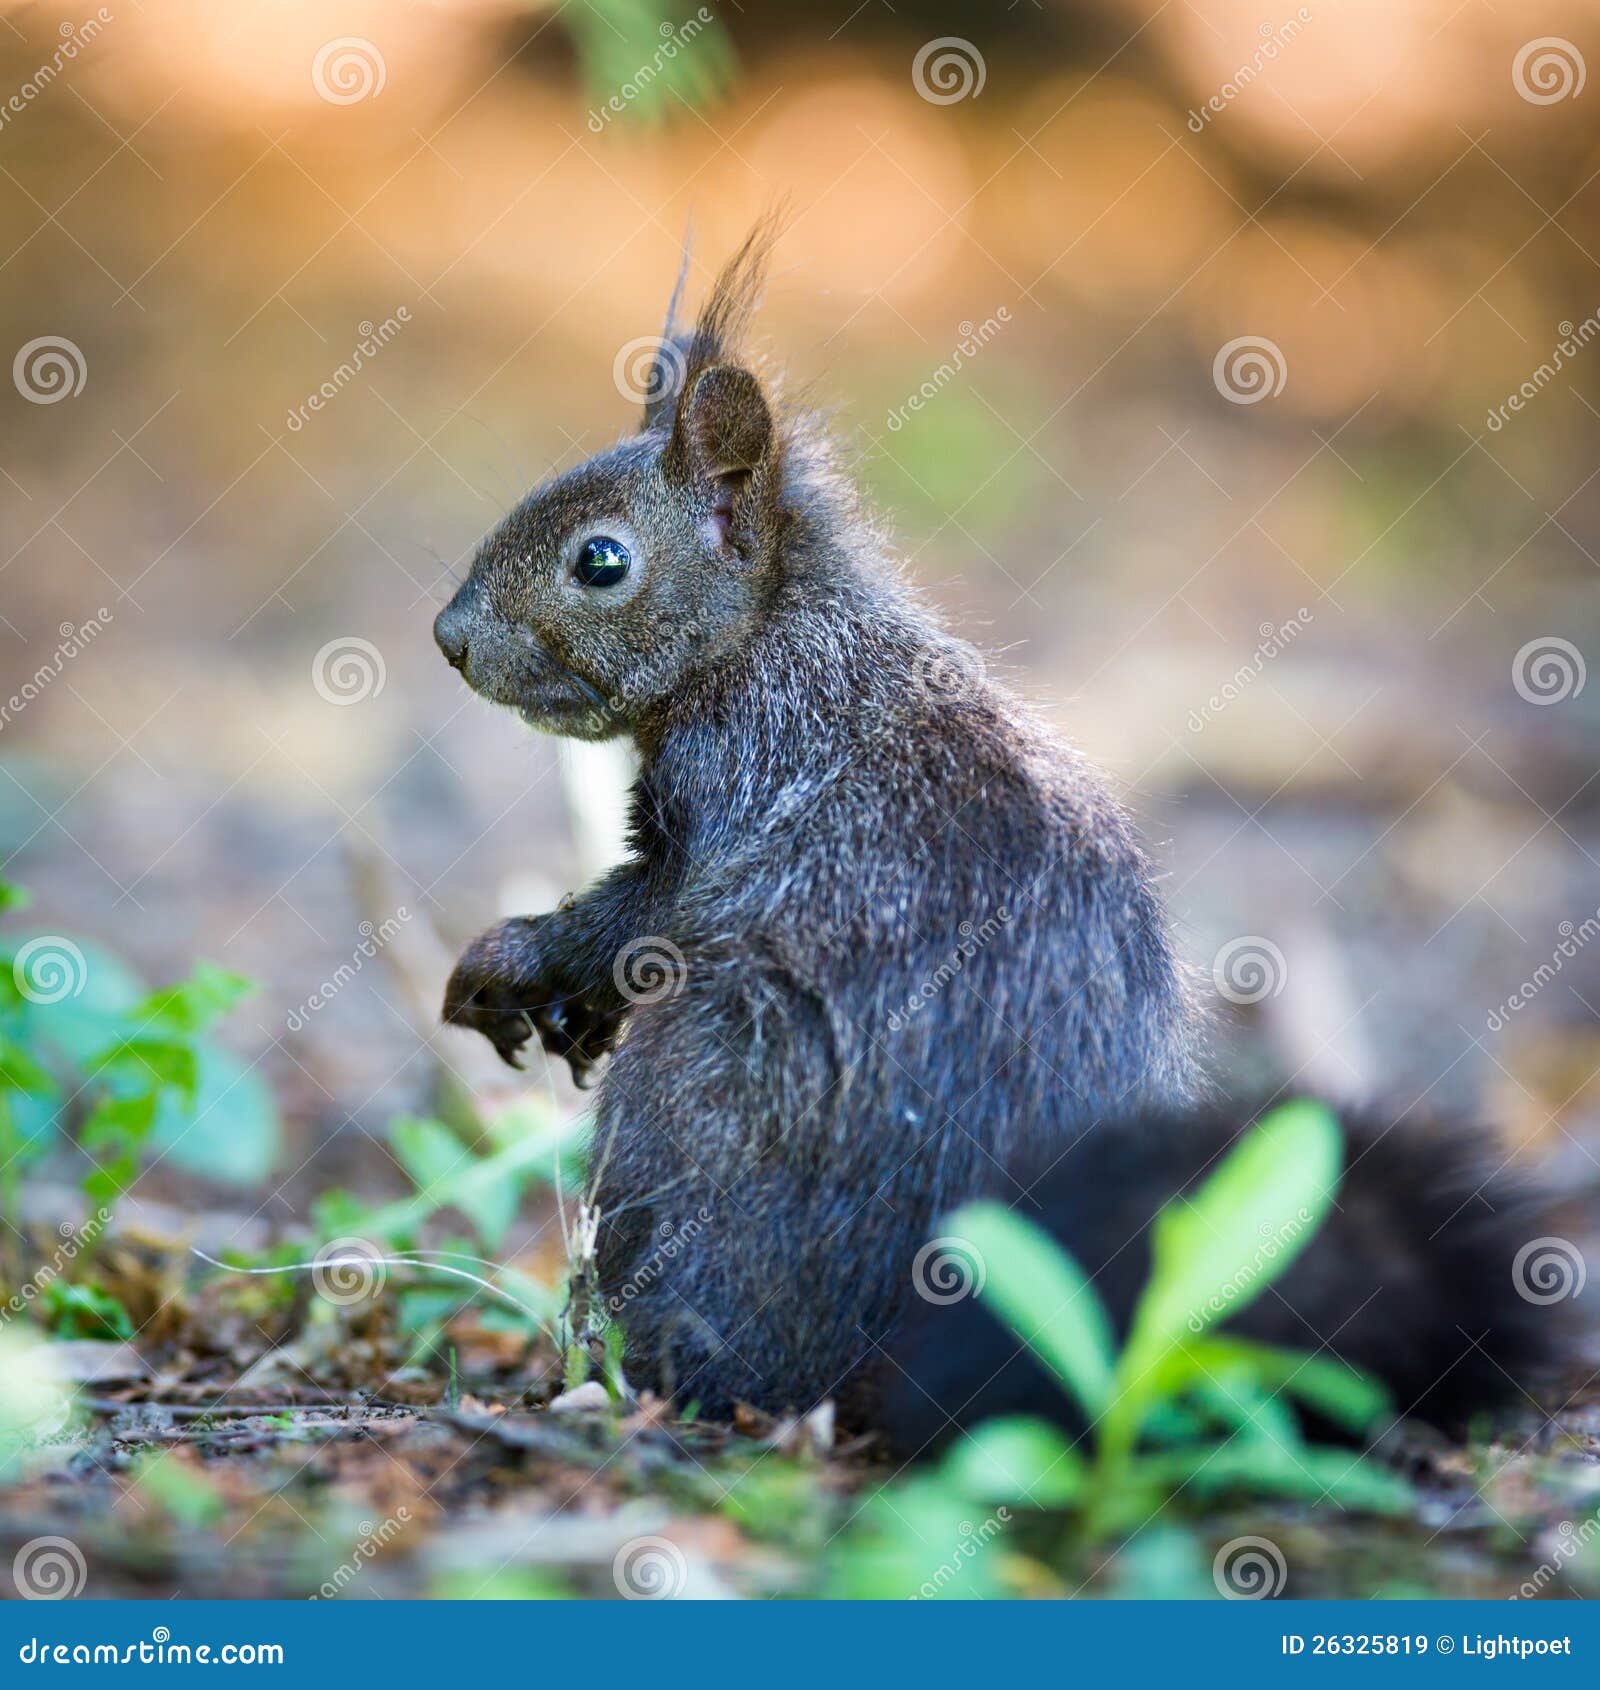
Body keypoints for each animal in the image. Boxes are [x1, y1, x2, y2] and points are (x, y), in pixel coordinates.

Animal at [434, 221, 1577, 1436]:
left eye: (600, 561)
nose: (449, 636)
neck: (773, 633)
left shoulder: (733, 784)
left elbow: (637, 922)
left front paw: (507, 963)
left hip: (696, 1098)